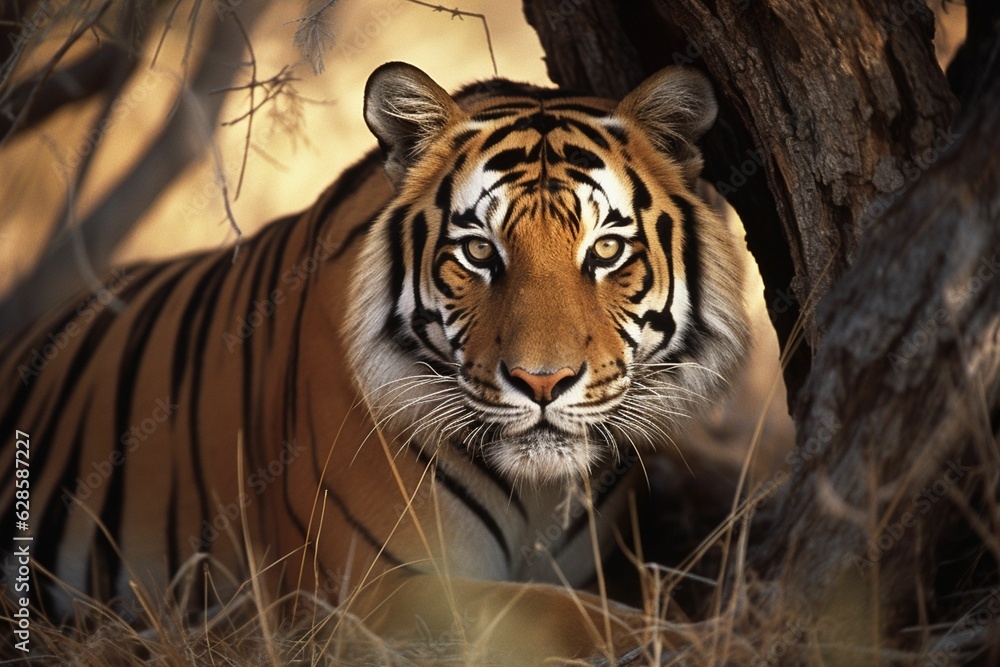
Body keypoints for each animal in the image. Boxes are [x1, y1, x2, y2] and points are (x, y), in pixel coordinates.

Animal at [0, 62, 749, 664]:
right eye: (480, 252)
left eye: (606, 251)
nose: (542, 381)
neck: (538, 492)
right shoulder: (360, 590)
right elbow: (546, 610)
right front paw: (703, 641)